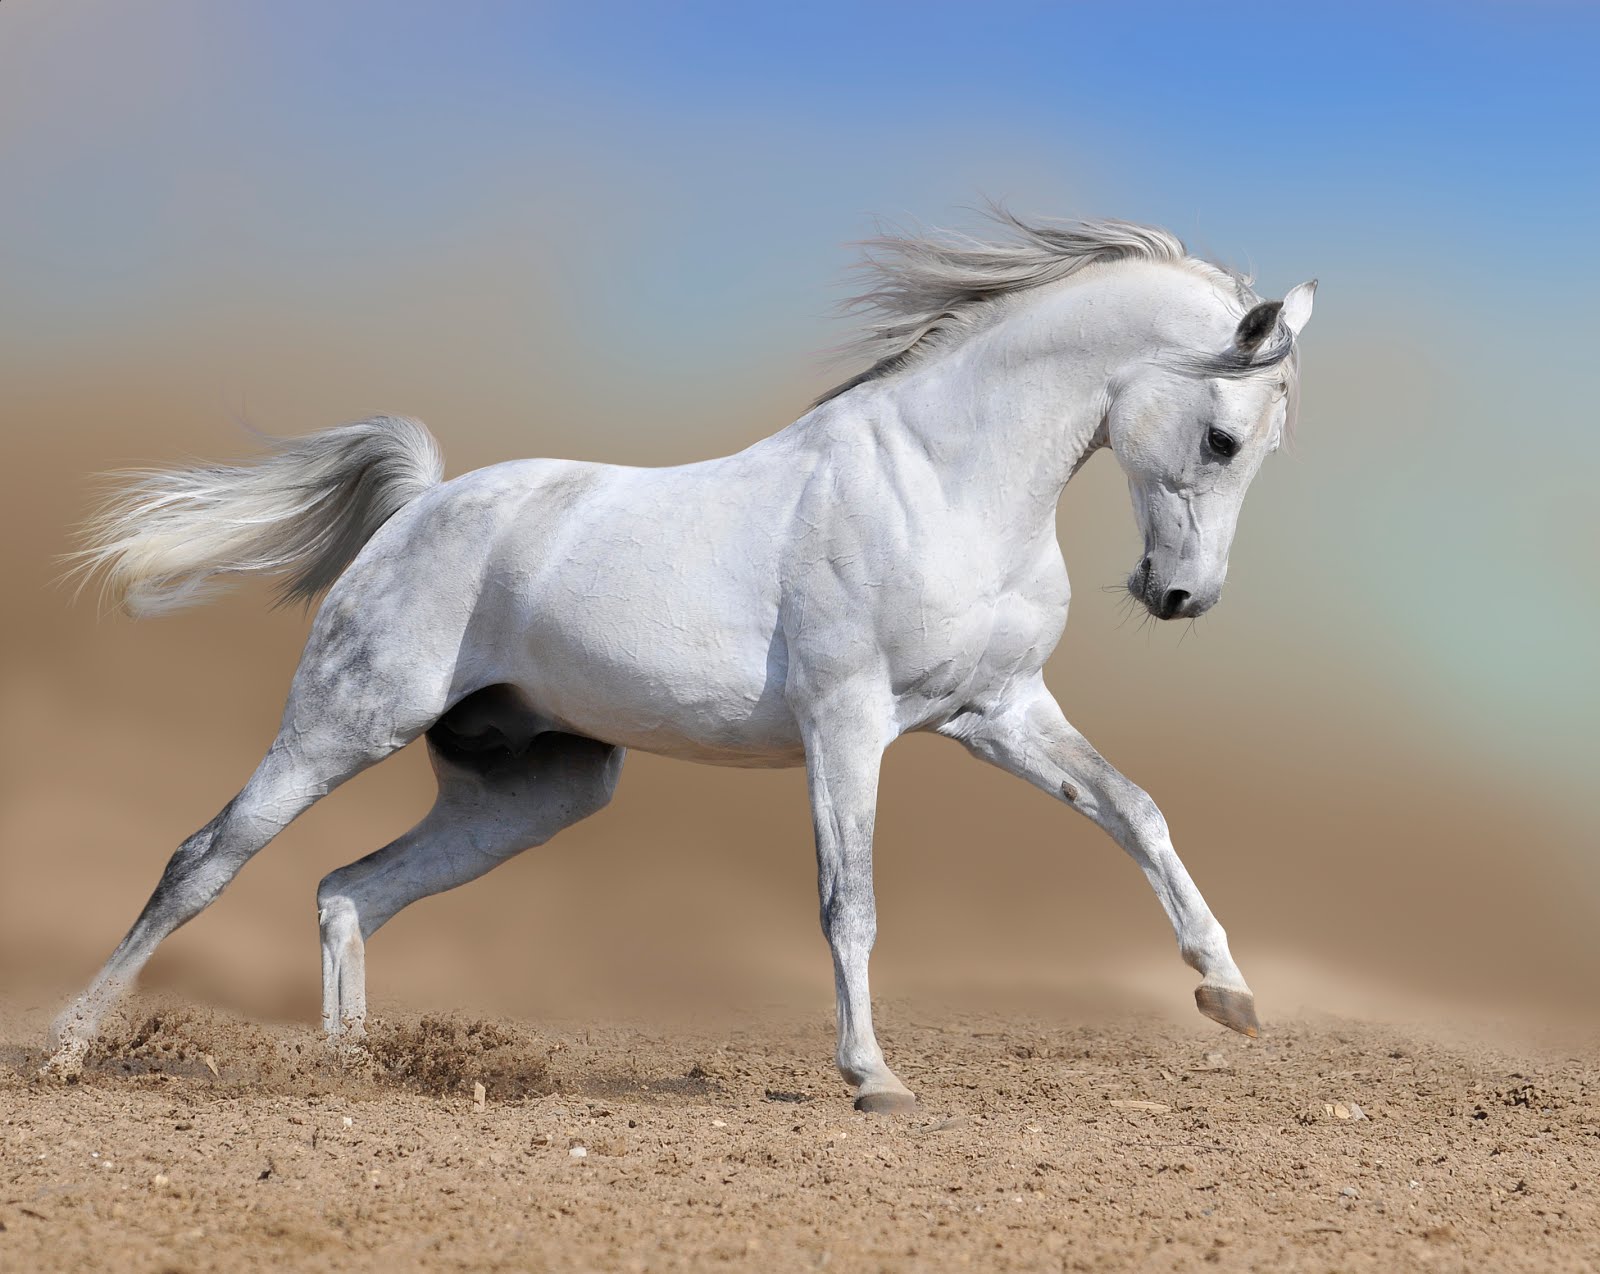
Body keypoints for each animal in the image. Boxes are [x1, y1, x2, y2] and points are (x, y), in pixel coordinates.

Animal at [48, 212, 1314, 1111]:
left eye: (1262, 448)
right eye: (1222, 438)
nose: (1179, 596)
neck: (942, 480)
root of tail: (420, 505)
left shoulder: (996, 711)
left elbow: (1134, 810)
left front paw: (1229, 992)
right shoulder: (847, 722)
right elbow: (849, 898)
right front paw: (872, 1077)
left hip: (535, 789)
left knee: (349, 889)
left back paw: (353, 1069)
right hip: (341, 723)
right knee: (204, 861)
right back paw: (66, 1046)